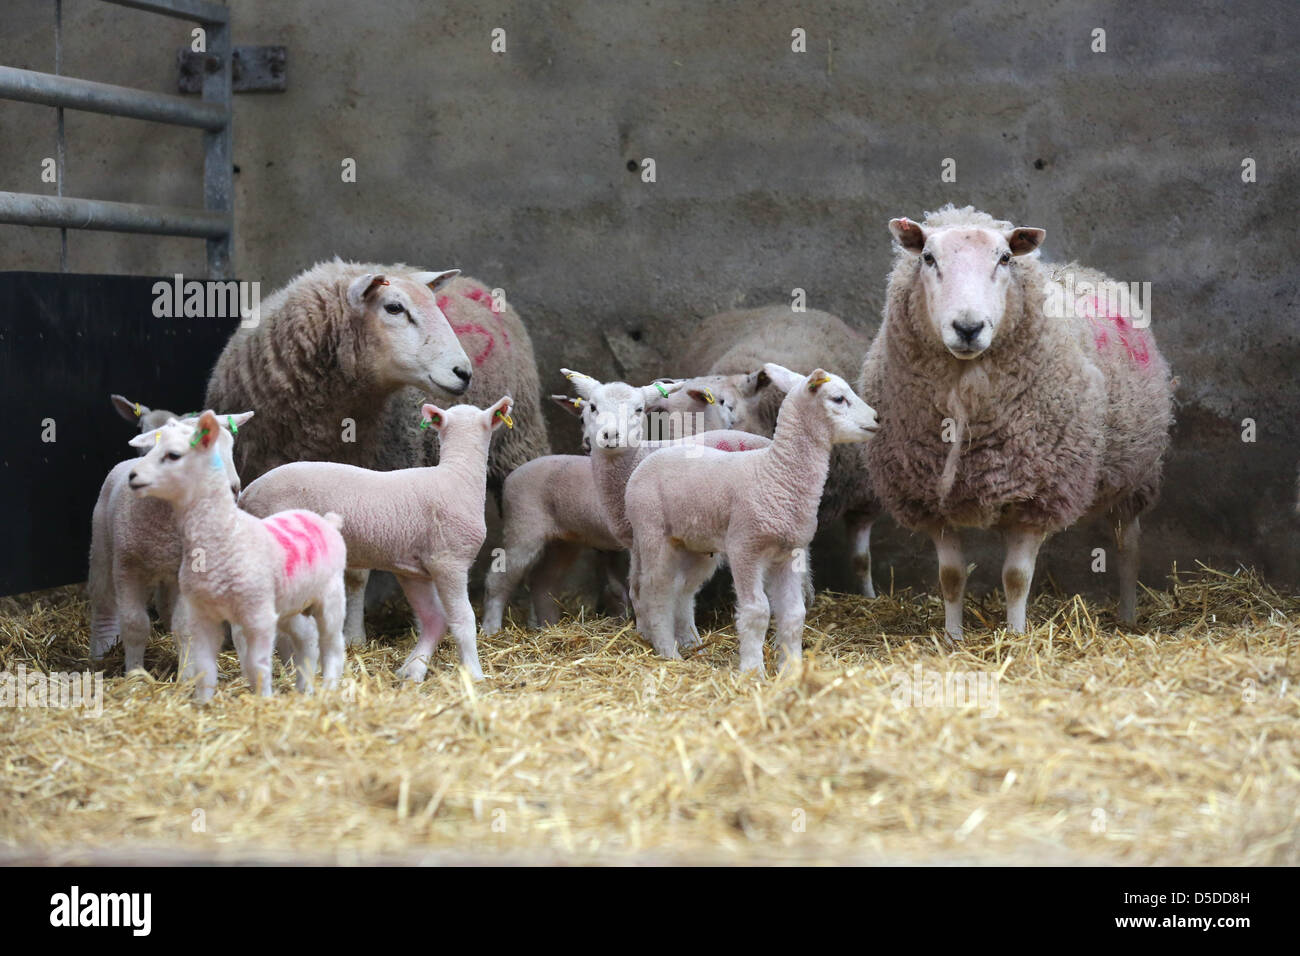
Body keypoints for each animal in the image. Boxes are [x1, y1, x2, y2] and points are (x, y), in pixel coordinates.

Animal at [87, 411, 253, 670]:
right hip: (102, 547)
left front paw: (187, 669)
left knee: (166, 608)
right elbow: (134, 624)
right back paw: (99, 654)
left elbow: (184, 627)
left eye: (231, 446)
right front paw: (134, 671)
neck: (164, 530)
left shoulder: (185, 570)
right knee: (103, 601)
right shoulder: (127, 567)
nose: (233, 489)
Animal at [126, 412, 348, 701]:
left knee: (333, 644)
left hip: (330, 596)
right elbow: (205, 667)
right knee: (306, 638)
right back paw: (304, 687)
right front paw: (203, 703)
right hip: (289, 604)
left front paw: (263, 699)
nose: (132, 475)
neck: (227, 533)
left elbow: (257, 665)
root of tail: (326, 521)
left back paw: (329, 687)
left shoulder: (258, 616)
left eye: (173, 455)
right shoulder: (203, 615)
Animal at [239, 397, 515, 682]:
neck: (459, 475)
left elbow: (433, 619)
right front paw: (474, 673)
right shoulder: (449, 561)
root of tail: (247, 493)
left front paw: (413, 669)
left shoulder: (414, 570)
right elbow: (463, 620)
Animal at [625, 364, 878, 673]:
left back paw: (691, 643)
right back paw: (668, 652)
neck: (775, 473)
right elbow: (757, 611)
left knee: (681, 591)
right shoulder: (745, 548)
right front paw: (753, 670)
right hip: (652, 532)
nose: (877, 419)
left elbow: (794, 614)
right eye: (839, 399)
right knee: (655, 591)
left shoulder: (790, 554)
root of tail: (644, 464)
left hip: (693, 544)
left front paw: (791, 669)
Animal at [858, 204, 1174, 639]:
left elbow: (1016, 578)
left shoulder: (1038, 495)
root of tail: (1079, 269)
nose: (968, 328)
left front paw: (1016, 636)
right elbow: (951, 577)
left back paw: (1127, 616)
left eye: (1005, 258)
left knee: (1128, 547)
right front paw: (953, 638)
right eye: (928, 258)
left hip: (1135, 474)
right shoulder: (929, 497)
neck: (964, 393)